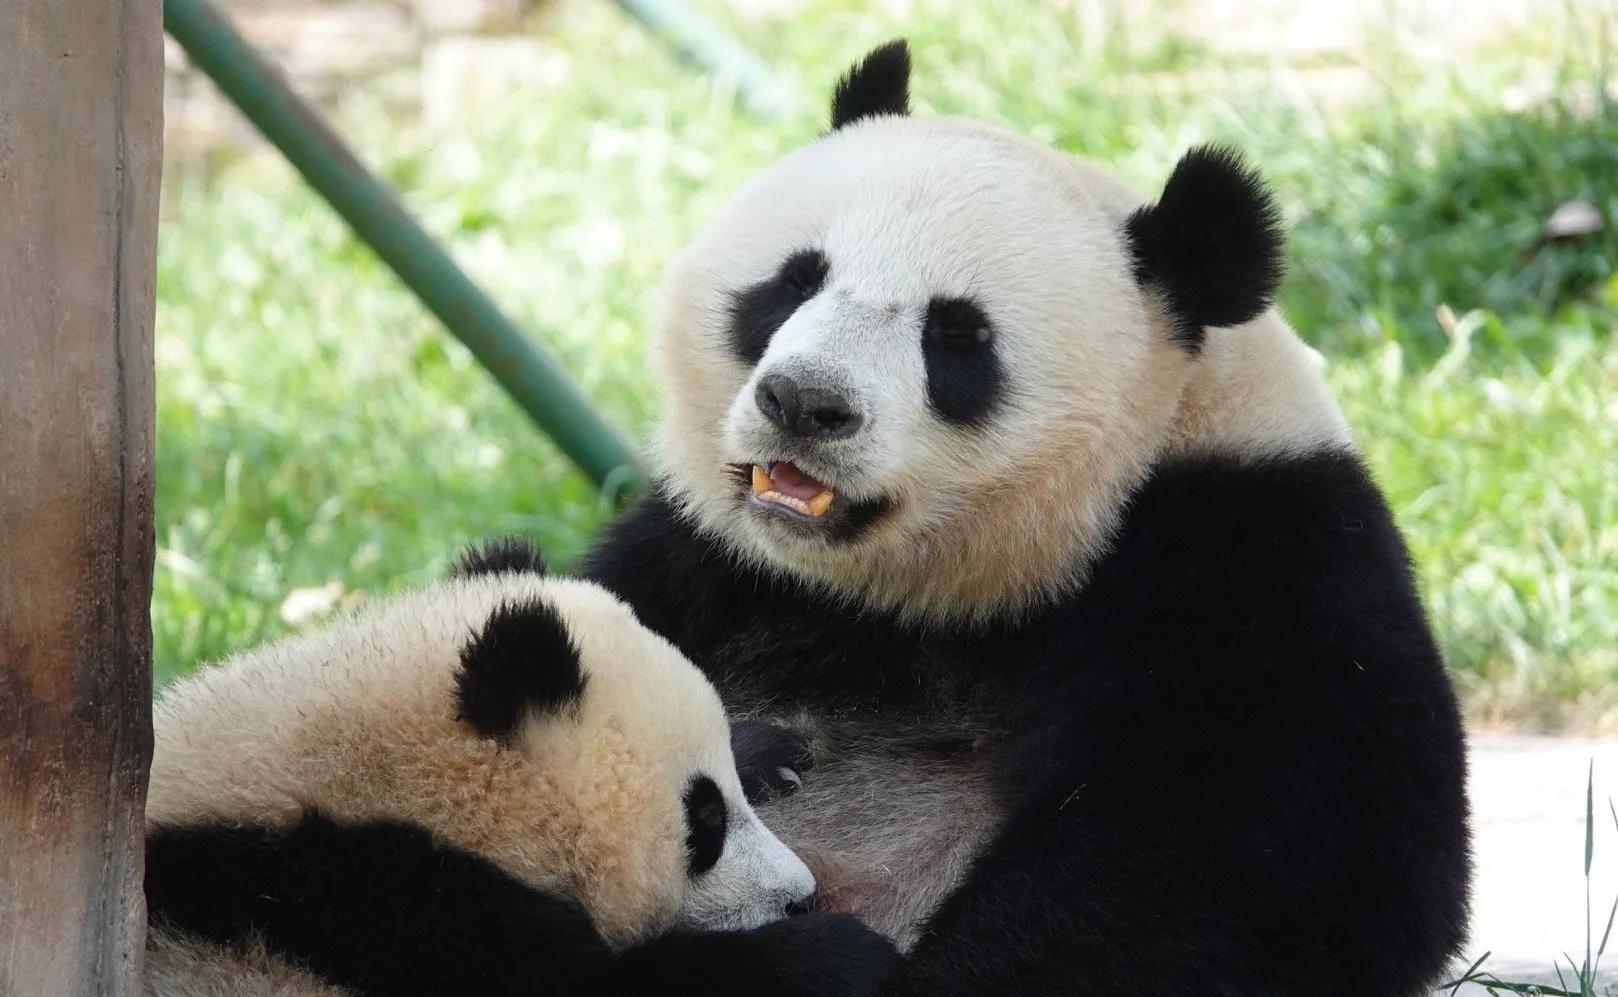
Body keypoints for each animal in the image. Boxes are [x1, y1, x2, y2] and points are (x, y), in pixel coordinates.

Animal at [142, 538, 899, 997]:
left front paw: (770, 747)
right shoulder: (381, 902)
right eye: (704, 820)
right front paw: (839, 952)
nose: (800, 894)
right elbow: (599, 986)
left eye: (724, 795)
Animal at [582, 40, 1472, 997]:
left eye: (958, 336)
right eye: (794, 281)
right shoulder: (696, 563)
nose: (805, 401)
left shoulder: (1265, 564)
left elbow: (1248, 864)